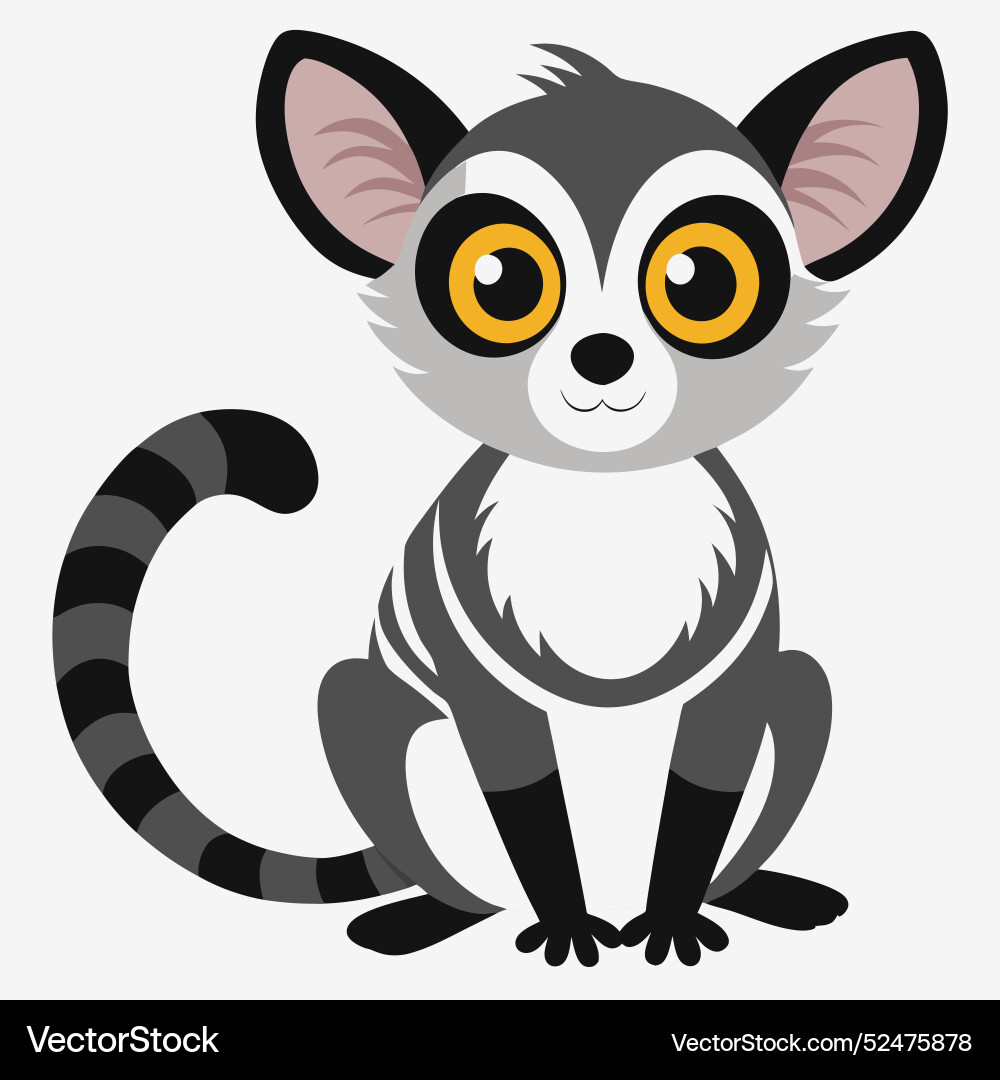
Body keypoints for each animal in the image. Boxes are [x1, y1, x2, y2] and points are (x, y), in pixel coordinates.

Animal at [53, 30, 946, 967]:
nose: (602, 357)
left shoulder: (734, 667)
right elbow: (521, 787)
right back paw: (432, 913)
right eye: (501, 280)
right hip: (391, 734)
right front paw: (563, 919)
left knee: (797, 696)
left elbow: (710, 774)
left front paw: (671, 913)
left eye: (701, 279)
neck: (604, 504)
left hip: (787, 699)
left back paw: (752, 890)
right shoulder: (476, 671)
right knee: (393, 761)